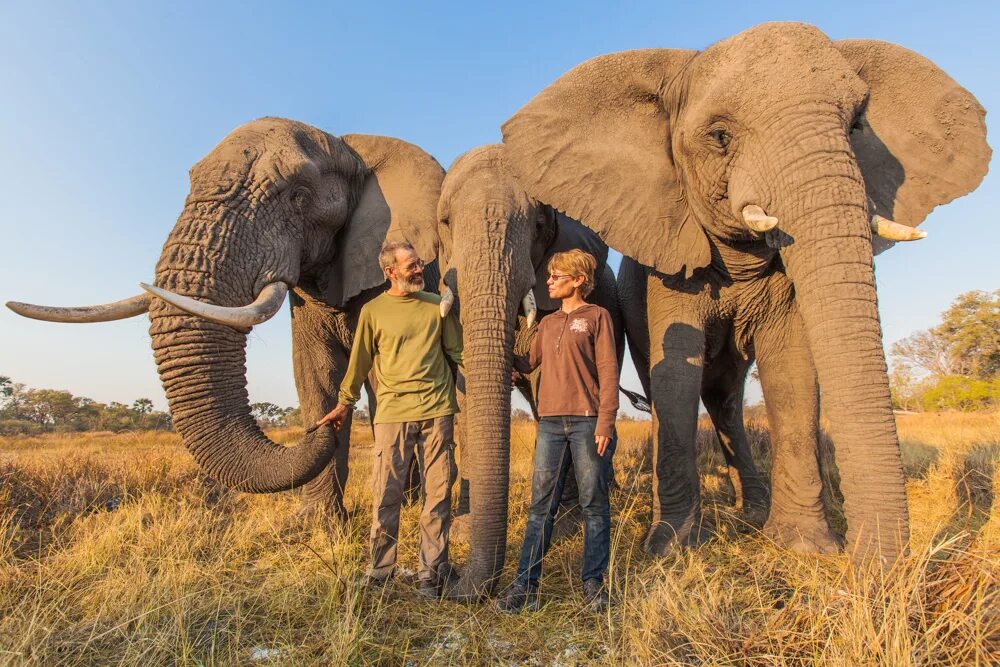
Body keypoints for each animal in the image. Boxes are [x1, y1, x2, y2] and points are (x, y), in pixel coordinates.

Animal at [434, 143, 626, 595]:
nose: (451, 578)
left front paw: (568, 527)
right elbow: (468, 389)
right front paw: (464, 527)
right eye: (446, 223)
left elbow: (547, 389)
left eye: (539, 225)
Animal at [500, 23, 990, 563]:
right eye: (720, 137)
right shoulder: (666, 271)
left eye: (857, 124)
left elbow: (793, 372)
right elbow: (675, 376)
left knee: (725, 400)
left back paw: (752, 513)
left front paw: (805, 547)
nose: (867, 561)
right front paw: (672, 548)